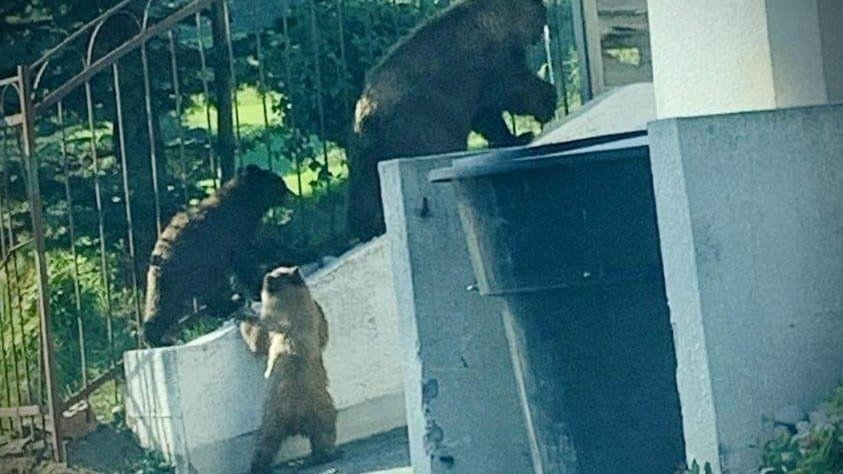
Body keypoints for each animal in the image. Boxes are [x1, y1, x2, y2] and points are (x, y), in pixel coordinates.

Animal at [141, 165, 291, 347]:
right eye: (278, 182)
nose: (290, 193)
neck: (247, 201)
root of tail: (160, 257)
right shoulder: (234, 232)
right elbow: (245, 259)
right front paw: (257, 288)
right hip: (196, 267)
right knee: (204, 293)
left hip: (172, 279)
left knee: (163, 304)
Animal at [240, 266, 338, 473]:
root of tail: (296, 421)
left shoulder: (272, 323)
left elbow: (258, 339)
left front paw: (243, 313)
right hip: (296, 414)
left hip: (278, 415)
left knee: (266, 443)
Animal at [346, 0, 557, 240]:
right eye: (540, 12)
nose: (545, 18)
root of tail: (364, 117)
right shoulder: (485, 65)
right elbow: (511, 90)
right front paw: (542, 107)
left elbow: (487, 116)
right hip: (417, 126)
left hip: (371, 151)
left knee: (365, 191)